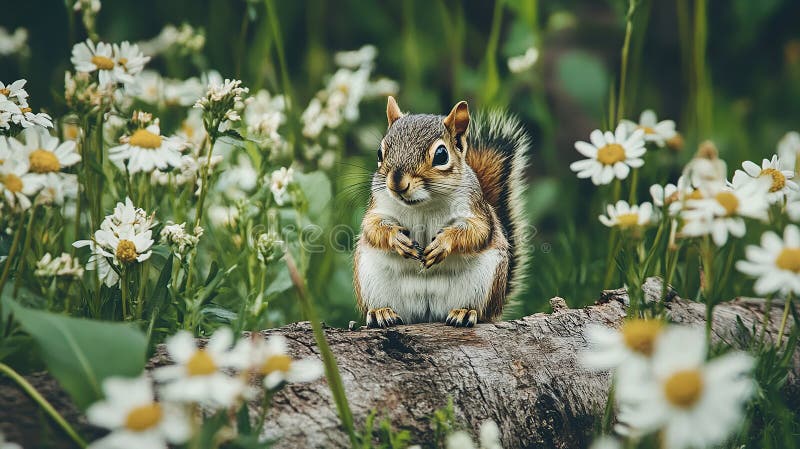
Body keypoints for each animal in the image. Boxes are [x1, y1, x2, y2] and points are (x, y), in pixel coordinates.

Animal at [353, 96, 530, 328]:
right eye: (379, 153)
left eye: (441, 155)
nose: (396, 183)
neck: (422, 204)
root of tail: (426, 315)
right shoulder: (379, 204)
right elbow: (372, 226)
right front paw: (397, 238)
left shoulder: (475, 209)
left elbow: (477, 232)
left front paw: (443, 243)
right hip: (370, 277)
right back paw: (381, 312)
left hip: (485, 281)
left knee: (479, 311)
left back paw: (465, 312)